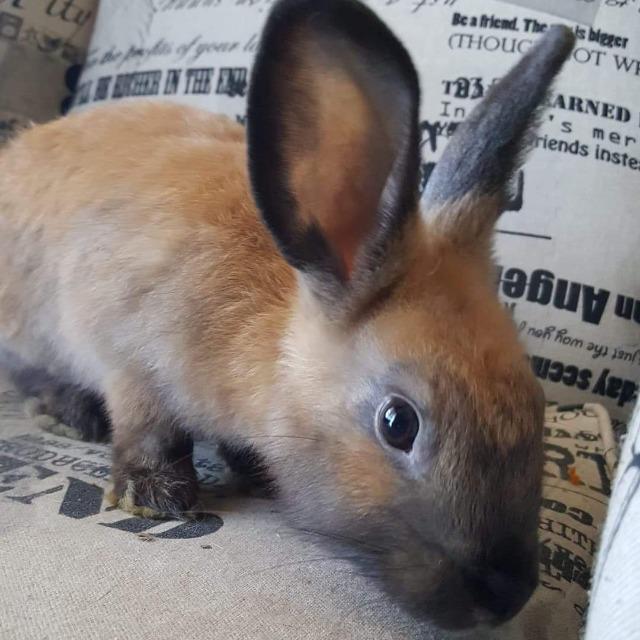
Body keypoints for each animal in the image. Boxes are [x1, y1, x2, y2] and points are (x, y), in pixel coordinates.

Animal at [0, 0, 575, 631]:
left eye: (536, 399)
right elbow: (147, 429)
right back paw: (70, 414)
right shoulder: (130, 360)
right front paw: (156, 496)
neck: (271, 346)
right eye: (398, 423)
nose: (507, 597)